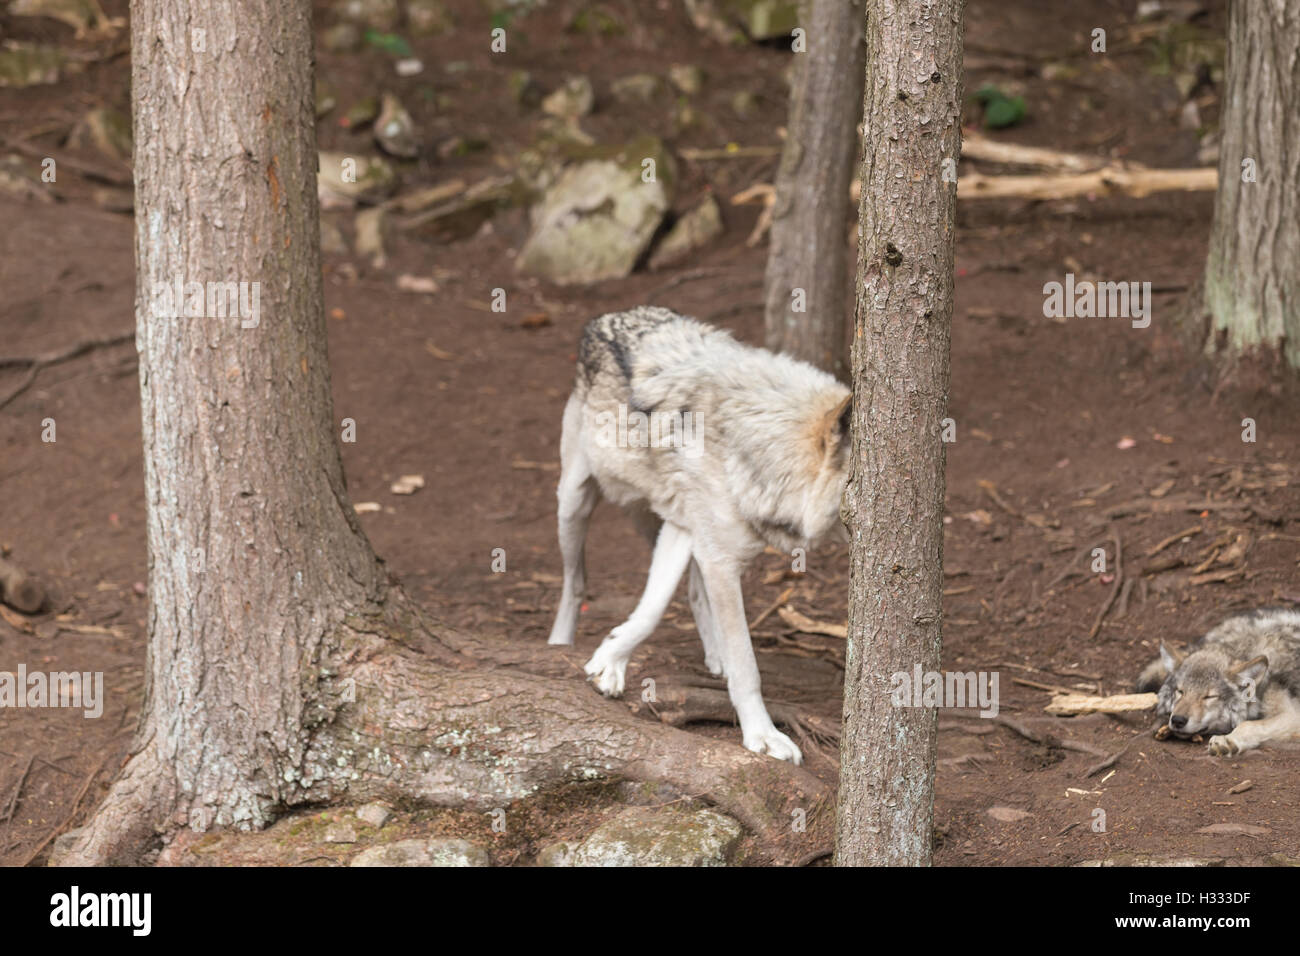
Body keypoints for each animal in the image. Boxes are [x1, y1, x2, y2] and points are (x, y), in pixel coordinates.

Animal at [546, 307, 852, 764]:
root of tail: (609, 316)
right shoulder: (711, 549)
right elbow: (744, 663)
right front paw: (763, 736)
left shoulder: (688, 531)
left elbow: (657, 608)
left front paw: (610, 658)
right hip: (575, 503)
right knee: (575, 582)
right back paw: (559, 642)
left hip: (664, 525)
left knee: (690, 590)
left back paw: (712, 653)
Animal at [1136, 608, 1300, 756]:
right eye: (1180, 691)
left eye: (1209, 697)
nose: (1177, 720)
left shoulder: (1292, 715)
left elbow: (1248, 724)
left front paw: (1228, 740)